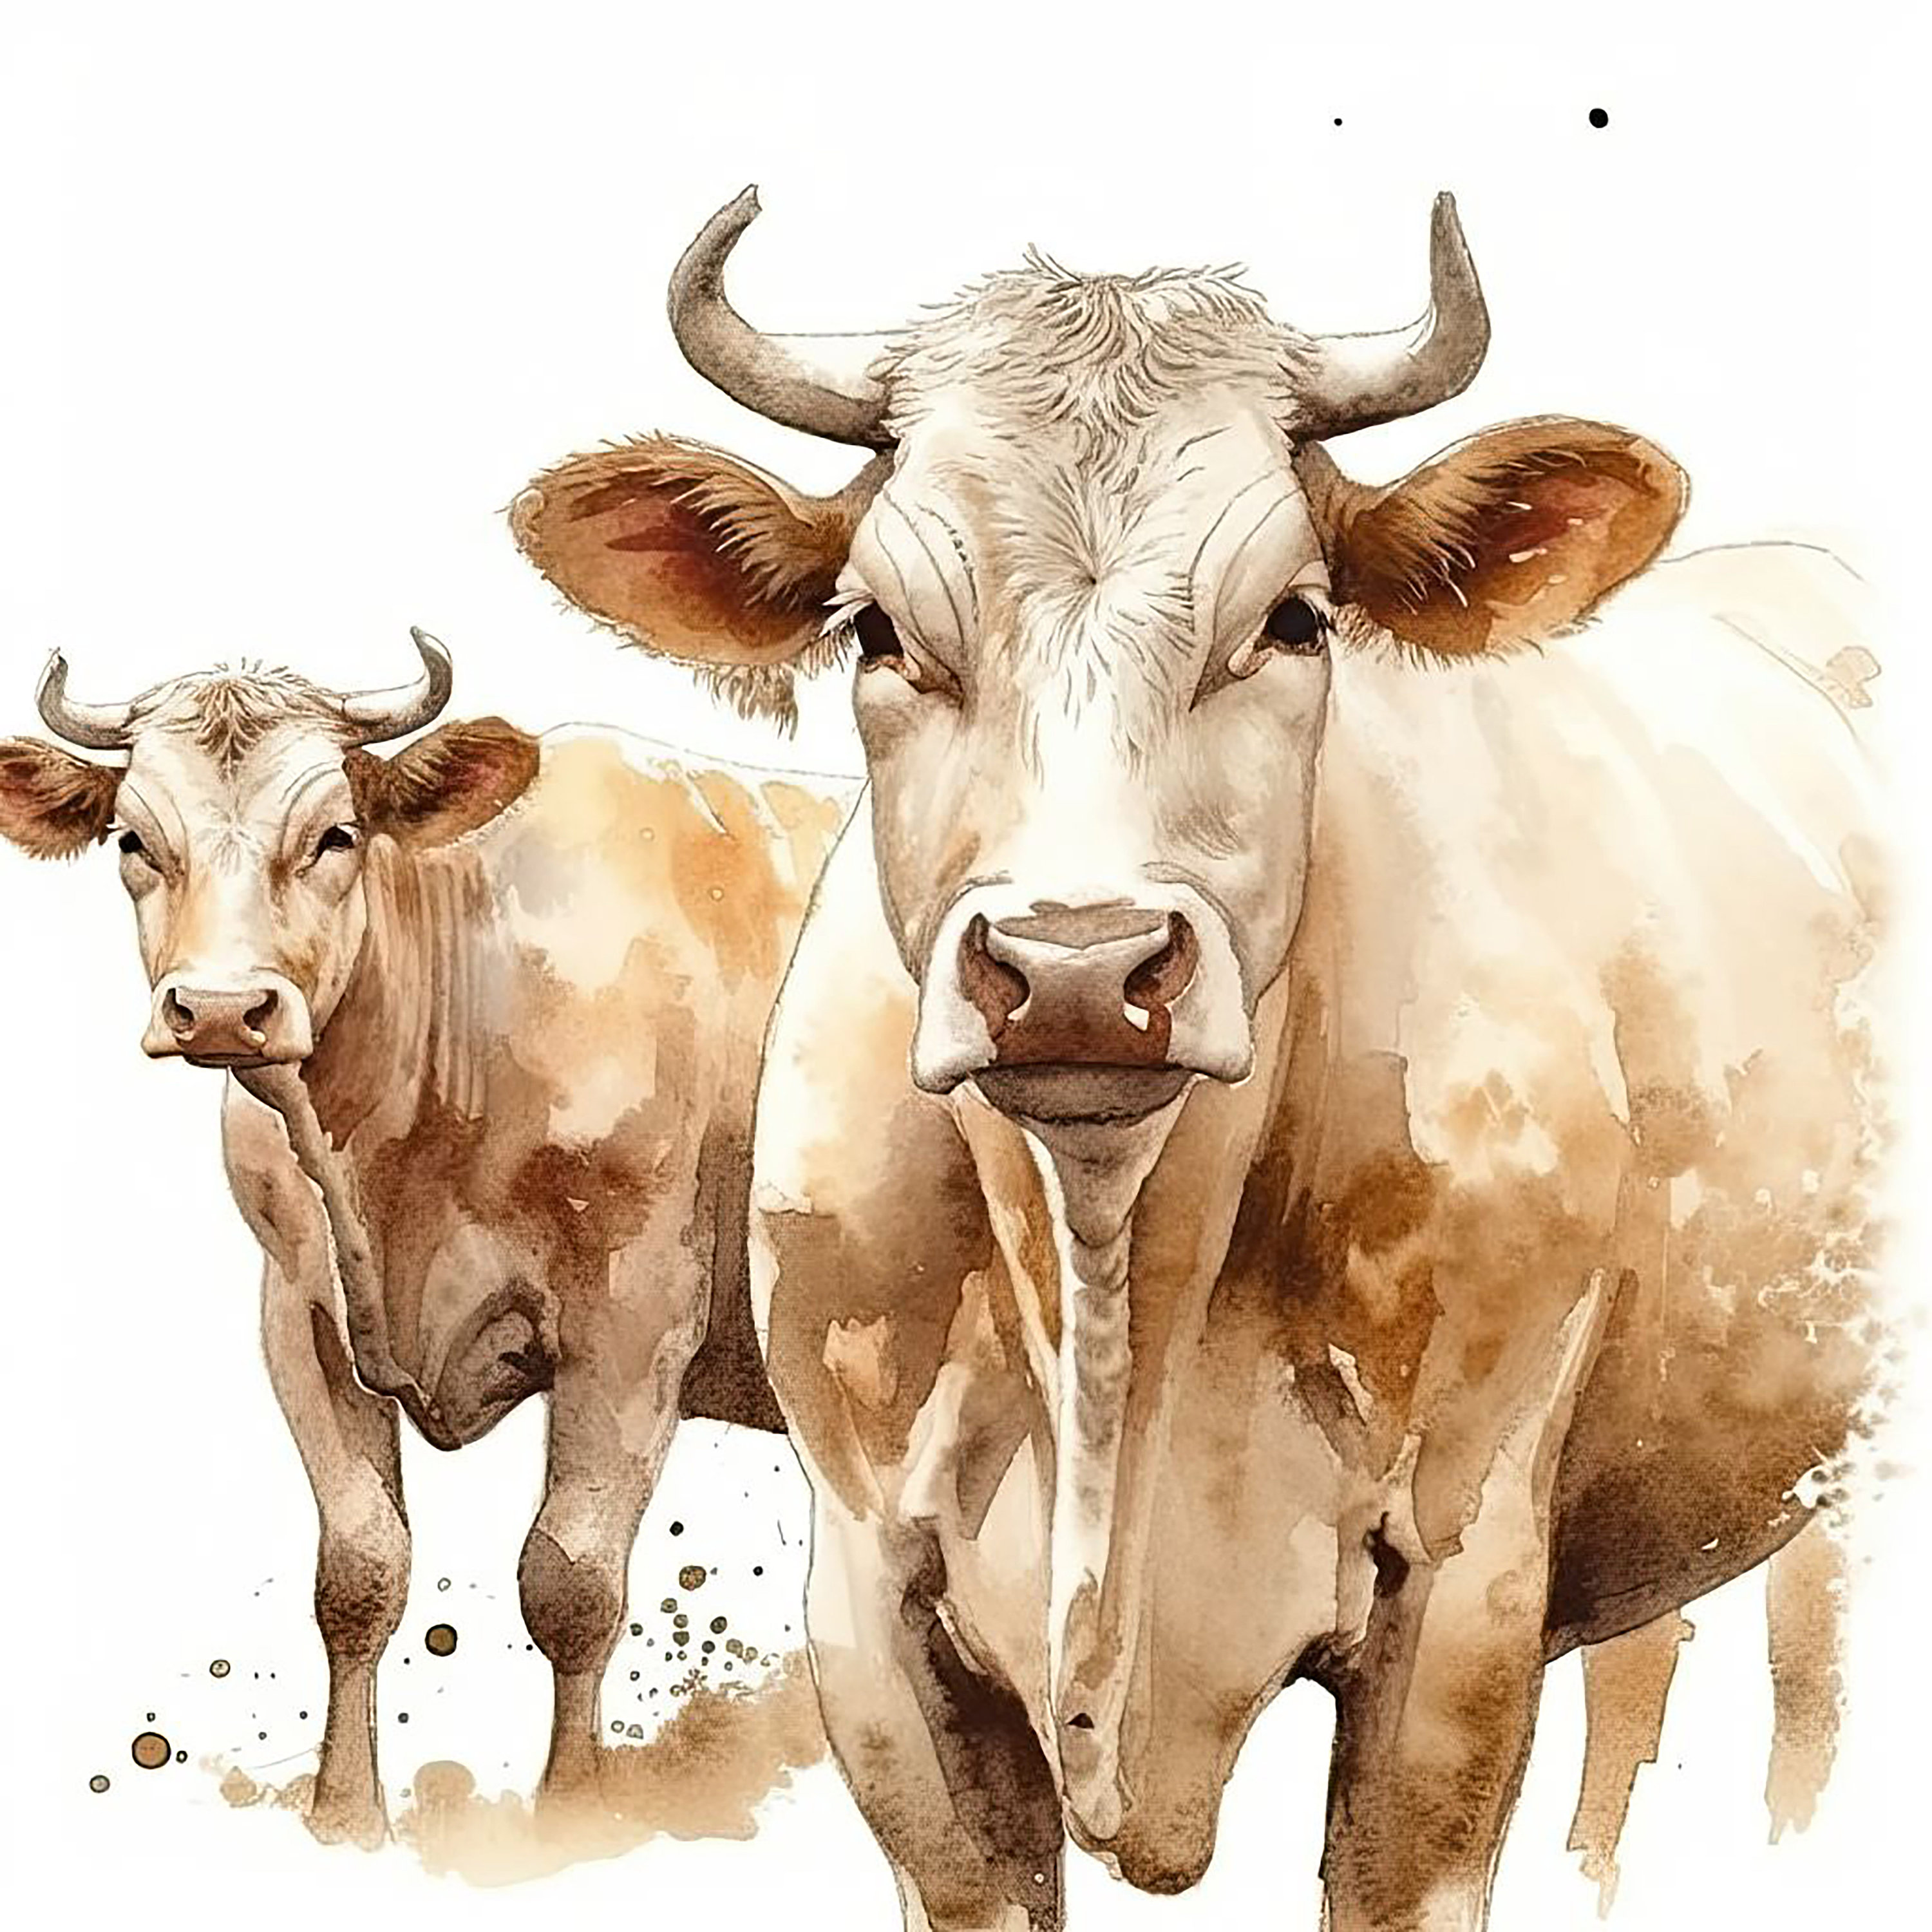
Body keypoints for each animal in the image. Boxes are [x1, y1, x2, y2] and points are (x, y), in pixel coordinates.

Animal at [0, 633, 852, 1847]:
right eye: (133, 840)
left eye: (334, 835)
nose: (221, 1010)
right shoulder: (300, 1312)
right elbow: (358, 1574)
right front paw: (345, 1820)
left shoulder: (634, 1322)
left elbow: (572, 1582)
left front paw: (571, 1825)